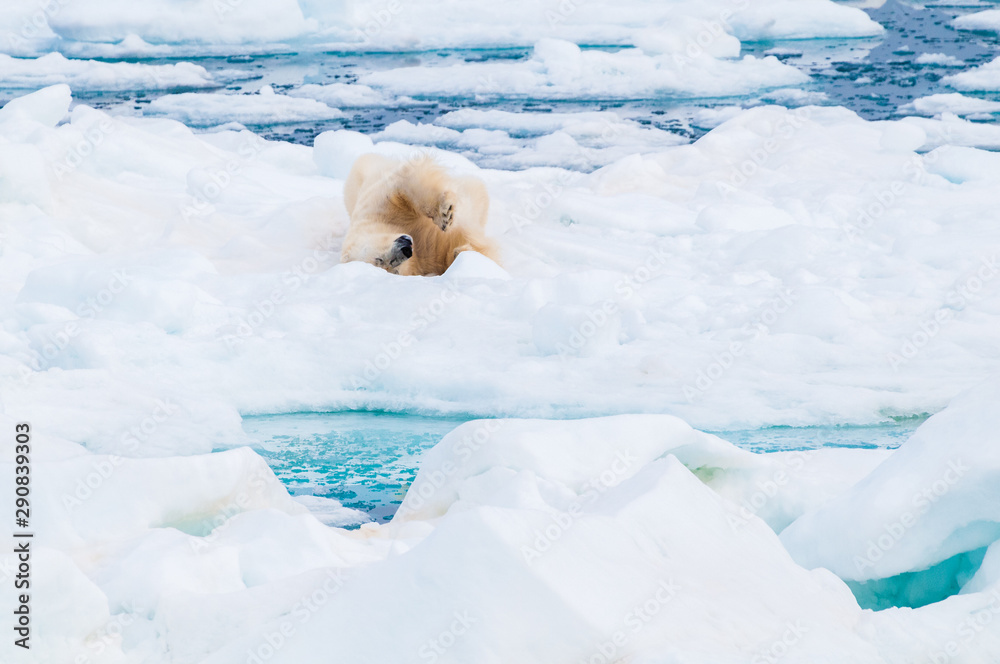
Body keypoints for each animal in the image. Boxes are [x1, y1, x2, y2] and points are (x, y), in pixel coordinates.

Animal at [341, 153, 499, 276]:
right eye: (392, 267)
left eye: (378, 259)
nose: (406, 249)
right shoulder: (426, 255)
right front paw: (462, 251)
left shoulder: (377, 207)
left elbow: (405, 186)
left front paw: (444, 215)